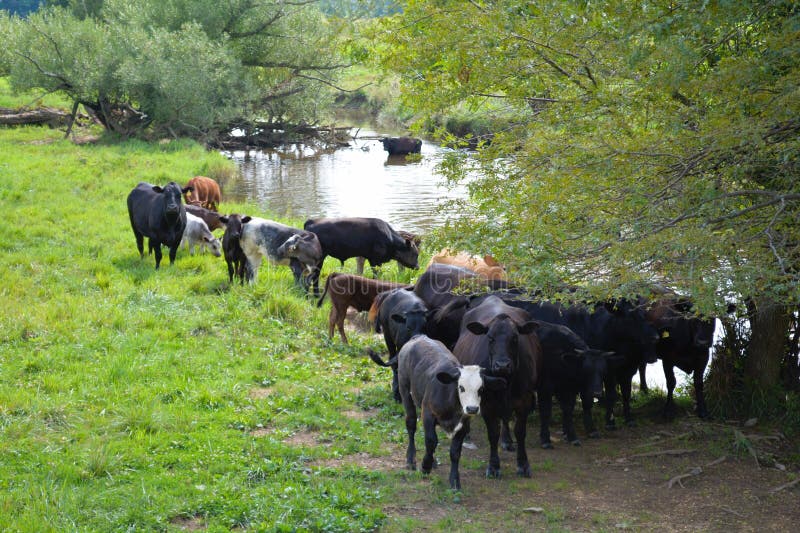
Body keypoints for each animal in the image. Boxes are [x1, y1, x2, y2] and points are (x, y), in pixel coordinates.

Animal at [368, 336, 507, 490]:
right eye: (461, 387)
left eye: (481, 389)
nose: (472, 409)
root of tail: (418, 337)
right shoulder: (428, 413)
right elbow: (431, 440)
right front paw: (425, 466)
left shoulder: (464, 425)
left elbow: (455, 452)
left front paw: (454, 481)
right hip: (405, 391)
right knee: (411, 424)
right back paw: (411, 458)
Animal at [453, 296, 540, 479]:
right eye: (490, 338)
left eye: (515, 338)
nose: (502, 365)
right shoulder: (487, 403)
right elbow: (492, 433)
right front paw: (493, 466)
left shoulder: (525, 399)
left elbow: (520, 432)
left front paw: (523, 464)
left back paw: (506, 440)